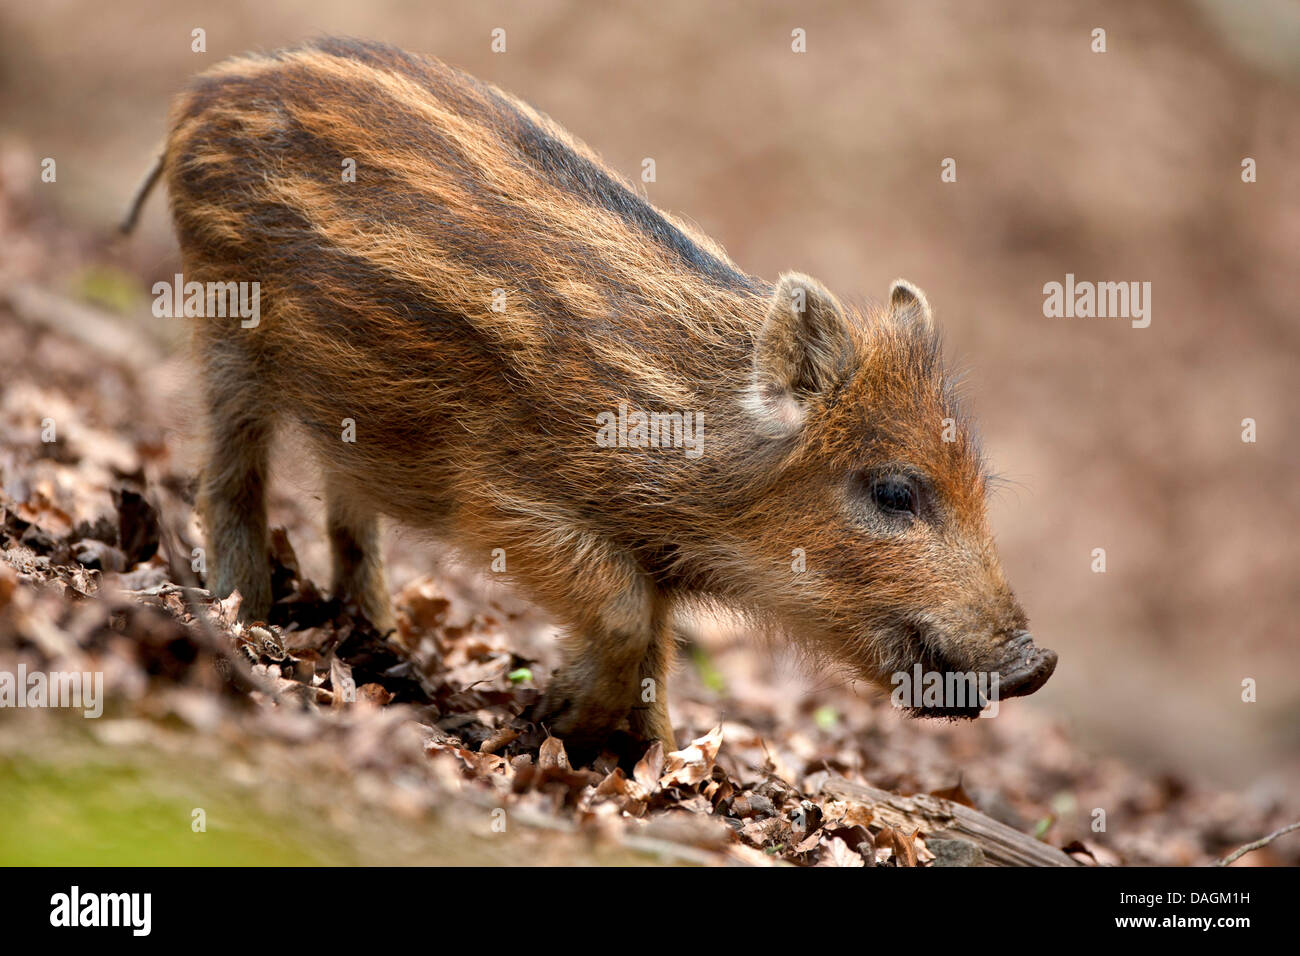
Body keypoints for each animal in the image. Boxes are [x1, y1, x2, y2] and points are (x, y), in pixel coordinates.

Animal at [127, 38, 1056, 747]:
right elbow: (622, 615)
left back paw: (373, 635)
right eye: (894, 491)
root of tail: (209, 87)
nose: (1037, 663)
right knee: (229, 472)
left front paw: (648, 759)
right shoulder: (505, 497)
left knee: (346, 509)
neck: (684, 435)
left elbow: (657, 651)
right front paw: (561, 715)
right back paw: (244, 610)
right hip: (225, 331)